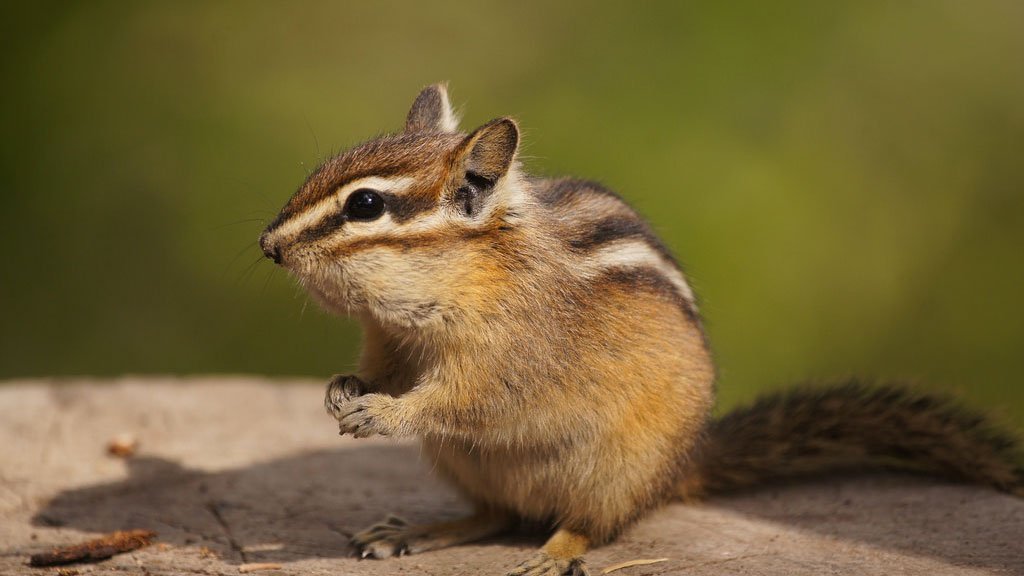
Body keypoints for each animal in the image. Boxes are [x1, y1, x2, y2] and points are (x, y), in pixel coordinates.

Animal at [259, 84, 1023, 576]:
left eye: (364, 205)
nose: (268, 245)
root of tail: (681, 468)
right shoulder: (387, 337)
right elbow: (381, 370)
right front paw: (343, 388)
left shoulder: (515, 353)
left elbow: (464, 398)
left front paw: (385, 413)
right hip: (466, 463)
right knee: (494, 515)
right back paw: (423, 528)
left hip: (615, 467)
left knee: (585, 523)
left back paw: (552, 555)